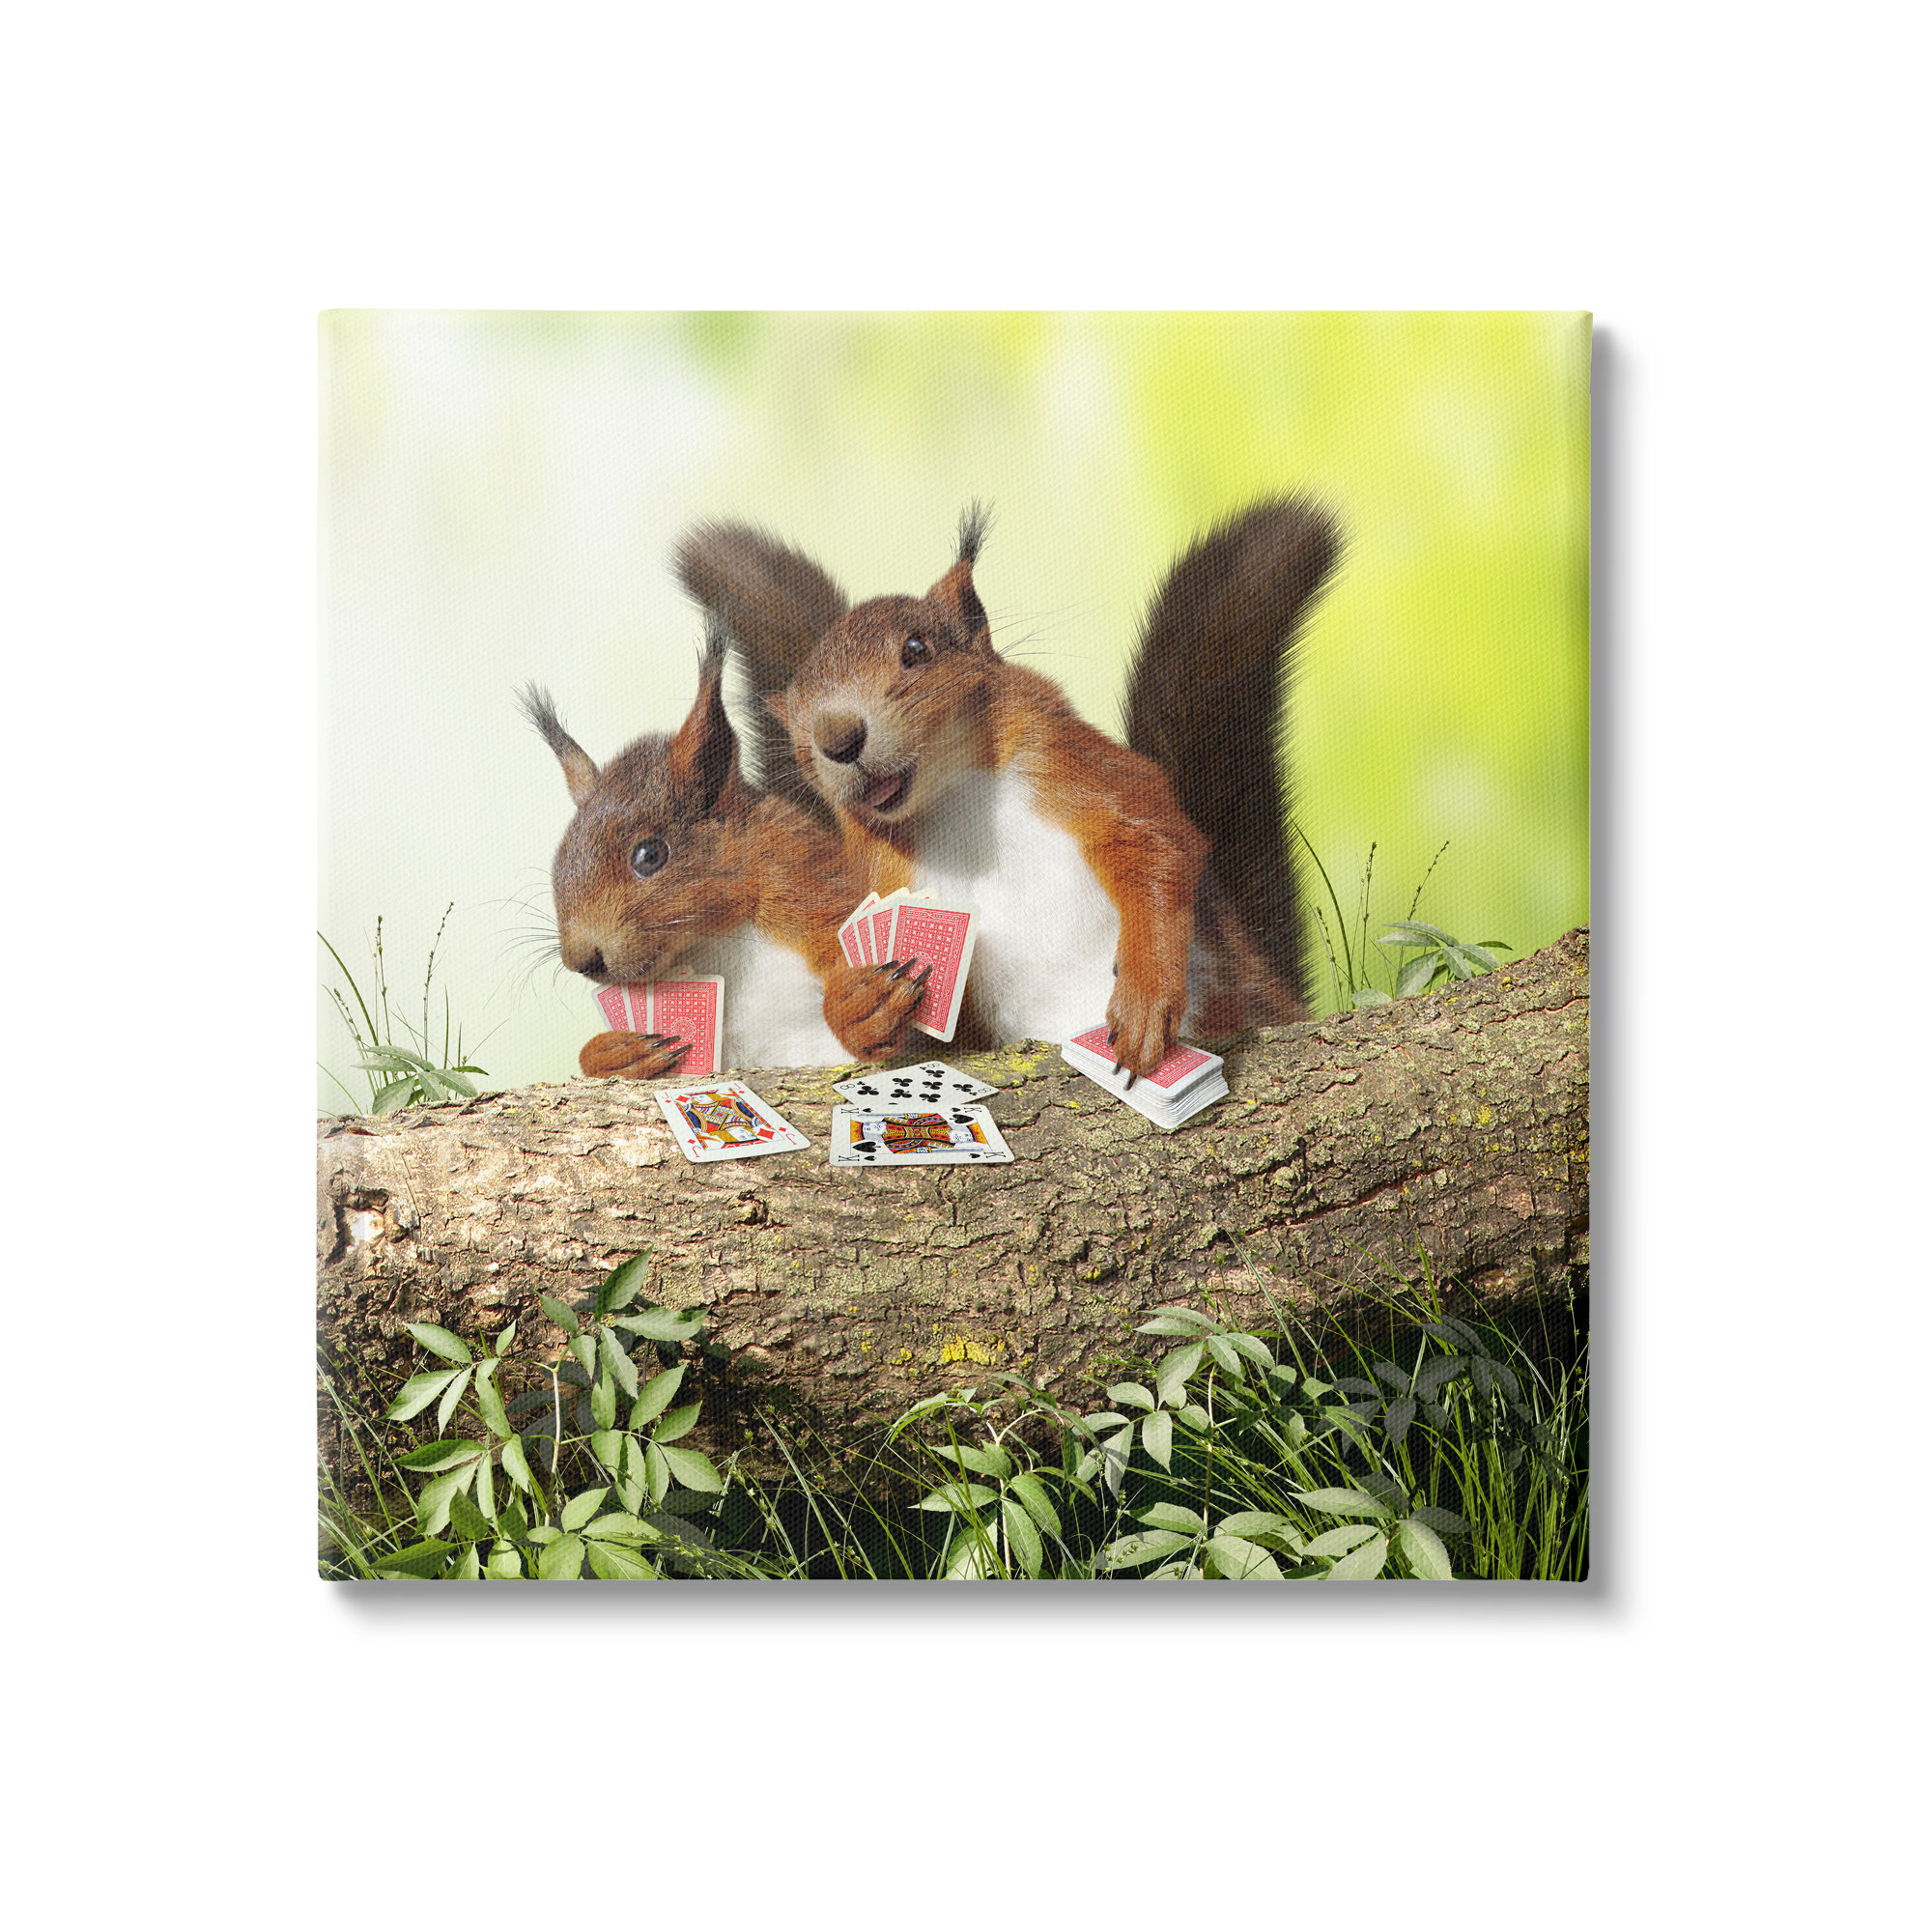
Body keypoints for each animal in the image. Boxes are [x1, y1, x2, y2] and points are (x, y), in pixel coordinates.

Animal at [520, 626, 930, 1078]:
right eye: (559, 861)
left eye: (649, 856)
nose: (582, 960)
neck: (713, 938)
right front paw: (615, 1052)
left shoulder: (801, 877)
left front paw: (861, 1007)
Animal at [675, 497, 1340, 1080]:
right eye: (796, 720)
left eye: (916, 648)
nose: (836, 738)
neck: (951, 801)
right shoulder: (874, 881)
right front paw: (858, 1005)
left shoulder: (1070, 762)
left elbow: (1154, 840)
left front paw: (1146, 995)